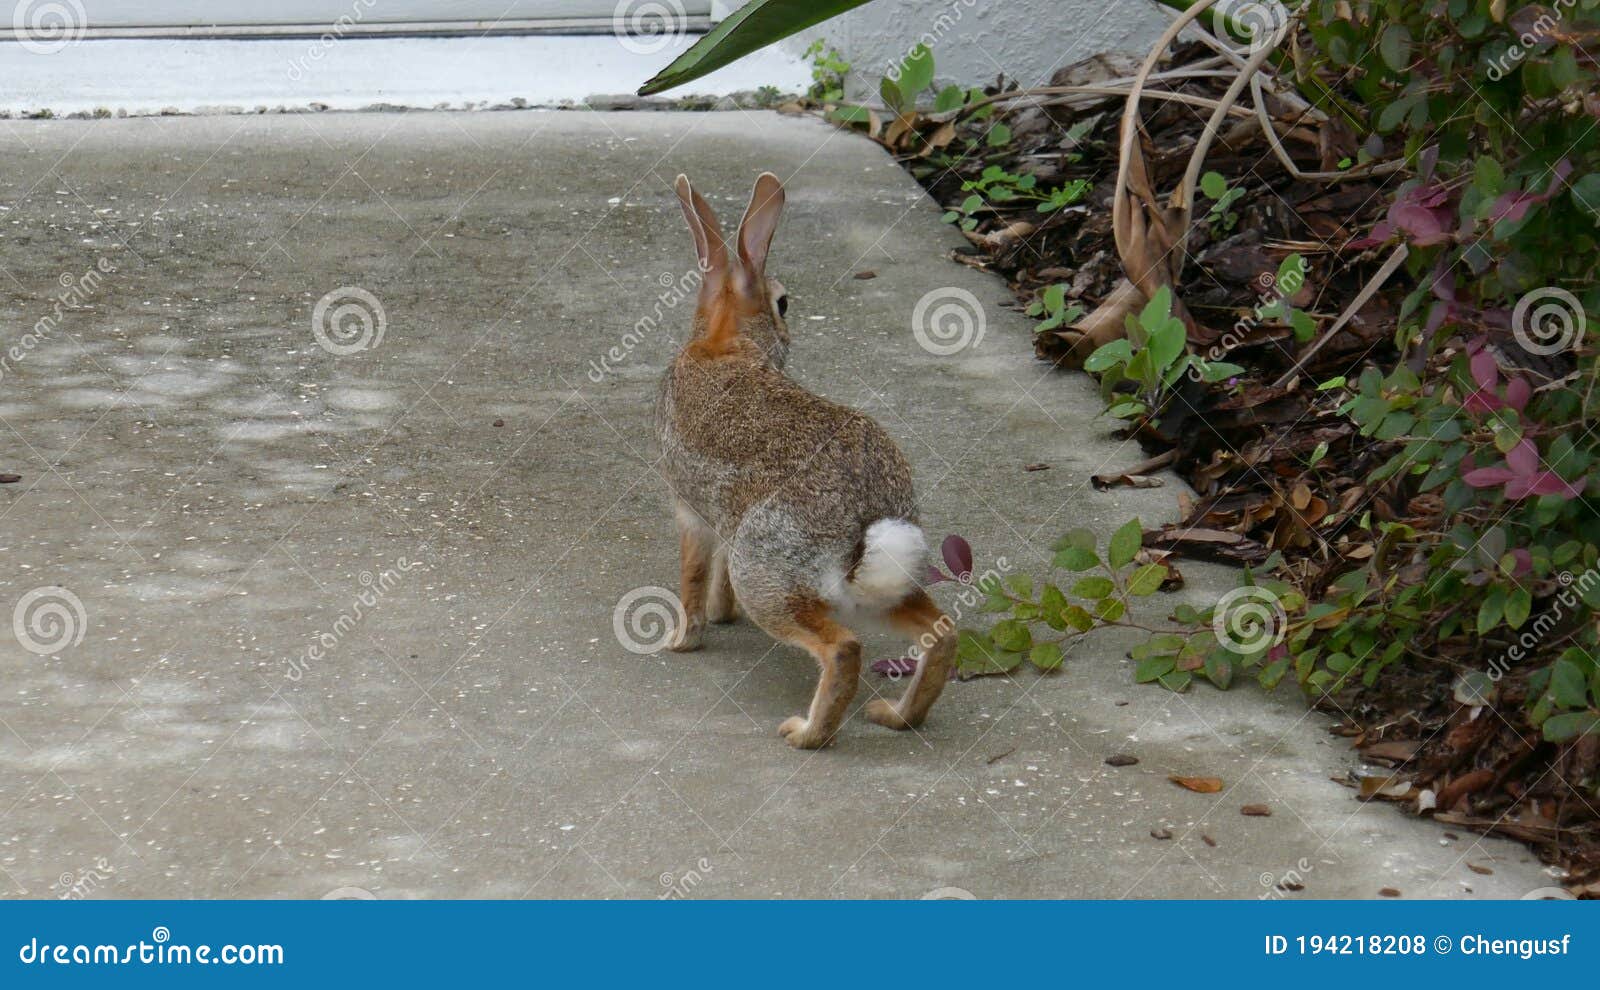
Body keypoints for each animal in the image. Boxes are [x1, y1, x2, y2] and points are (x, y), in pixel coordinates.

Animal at [655, 171, 957, 749]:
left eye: (784, 302)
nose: (789, 334)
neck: (726, 343)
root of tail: (866, 524)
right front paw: (722, 616)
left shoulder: (690, 513)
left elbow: (693, 576)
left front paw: (684, 639)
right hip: (883, 586)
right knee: (942, 632)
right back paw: (896, 717)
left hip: (767, 574)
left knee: (843, 648)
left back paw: (806, 734)